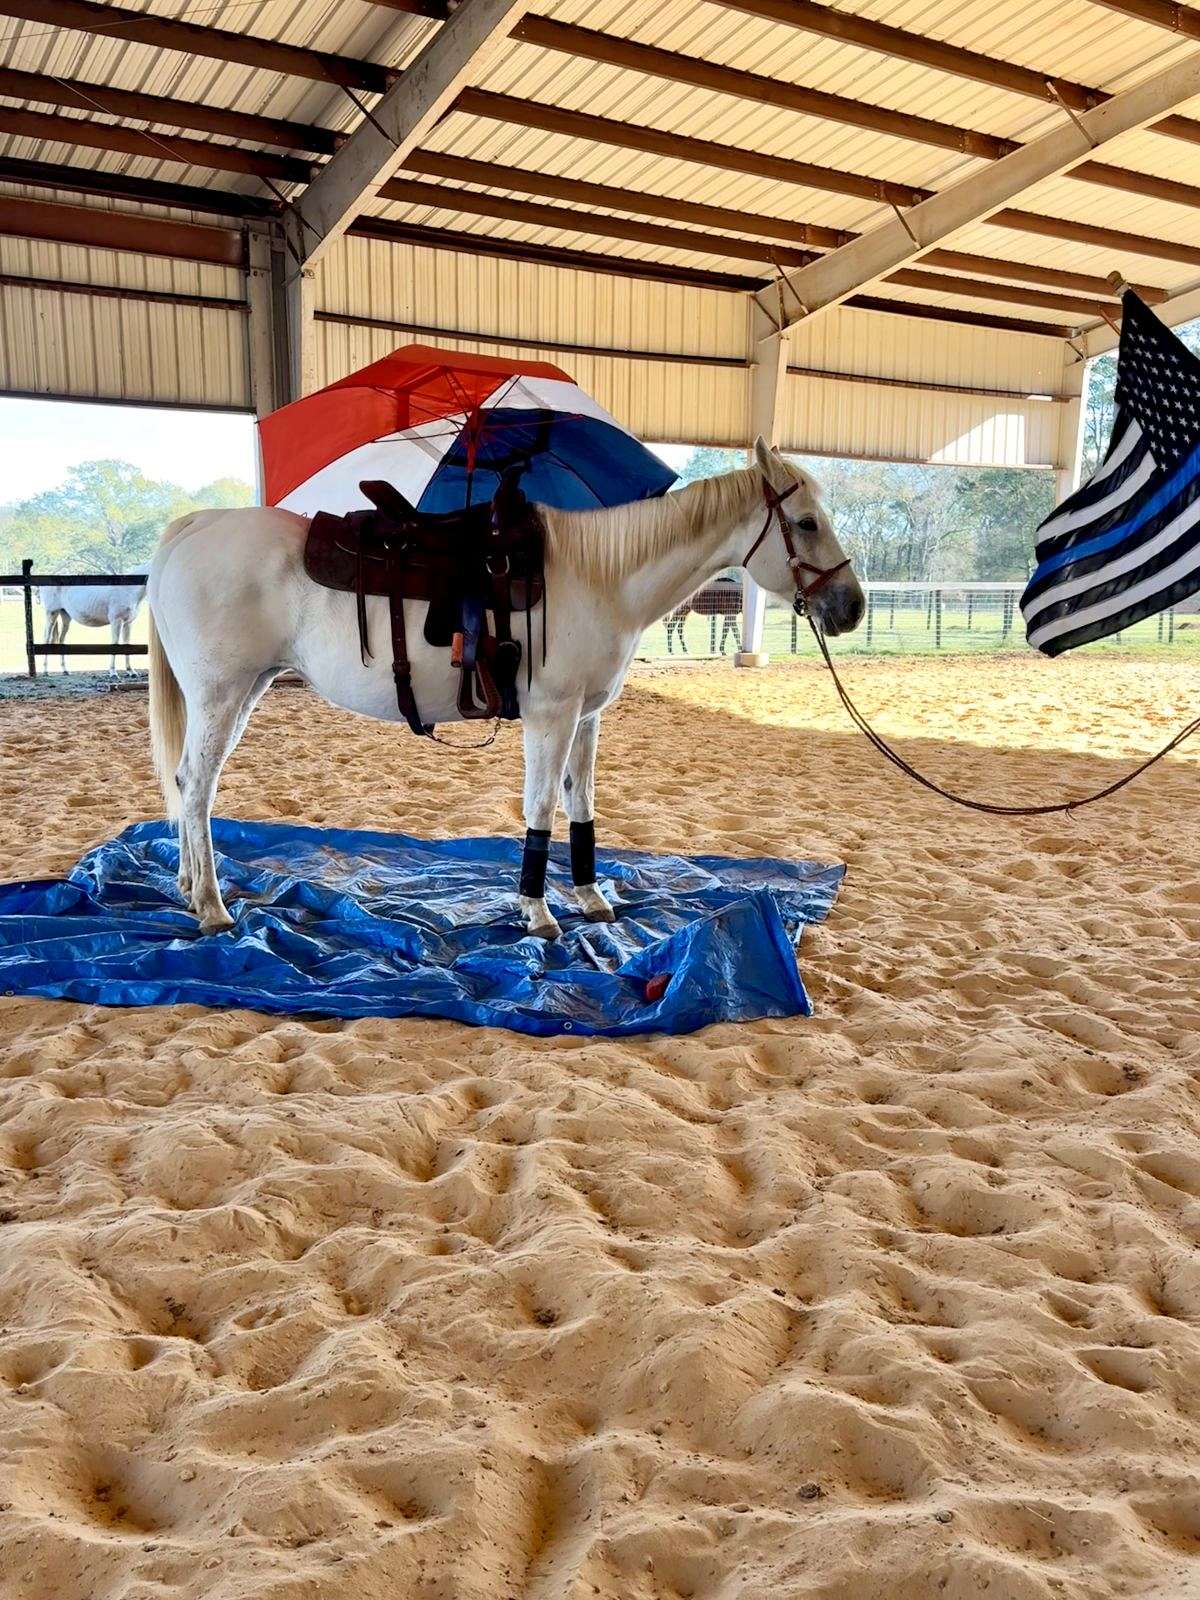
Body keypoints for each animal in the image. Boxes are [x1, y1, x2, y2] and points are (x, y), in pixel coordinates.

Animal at [147, 438, 864, 938]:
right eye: (805, 522)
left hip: (245, 692)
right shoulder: (551, 715)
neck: (598, 578)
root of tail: (191, 527)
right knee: (198, 786)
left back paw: (187, 887)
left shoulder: (587, 716)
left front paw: (590, 899)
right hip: (222, 696)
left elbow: (581, 803)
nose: (852, 607)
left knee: (189, 786)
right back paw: (211, 907)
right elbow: (541, 805)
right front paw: (537, 912)